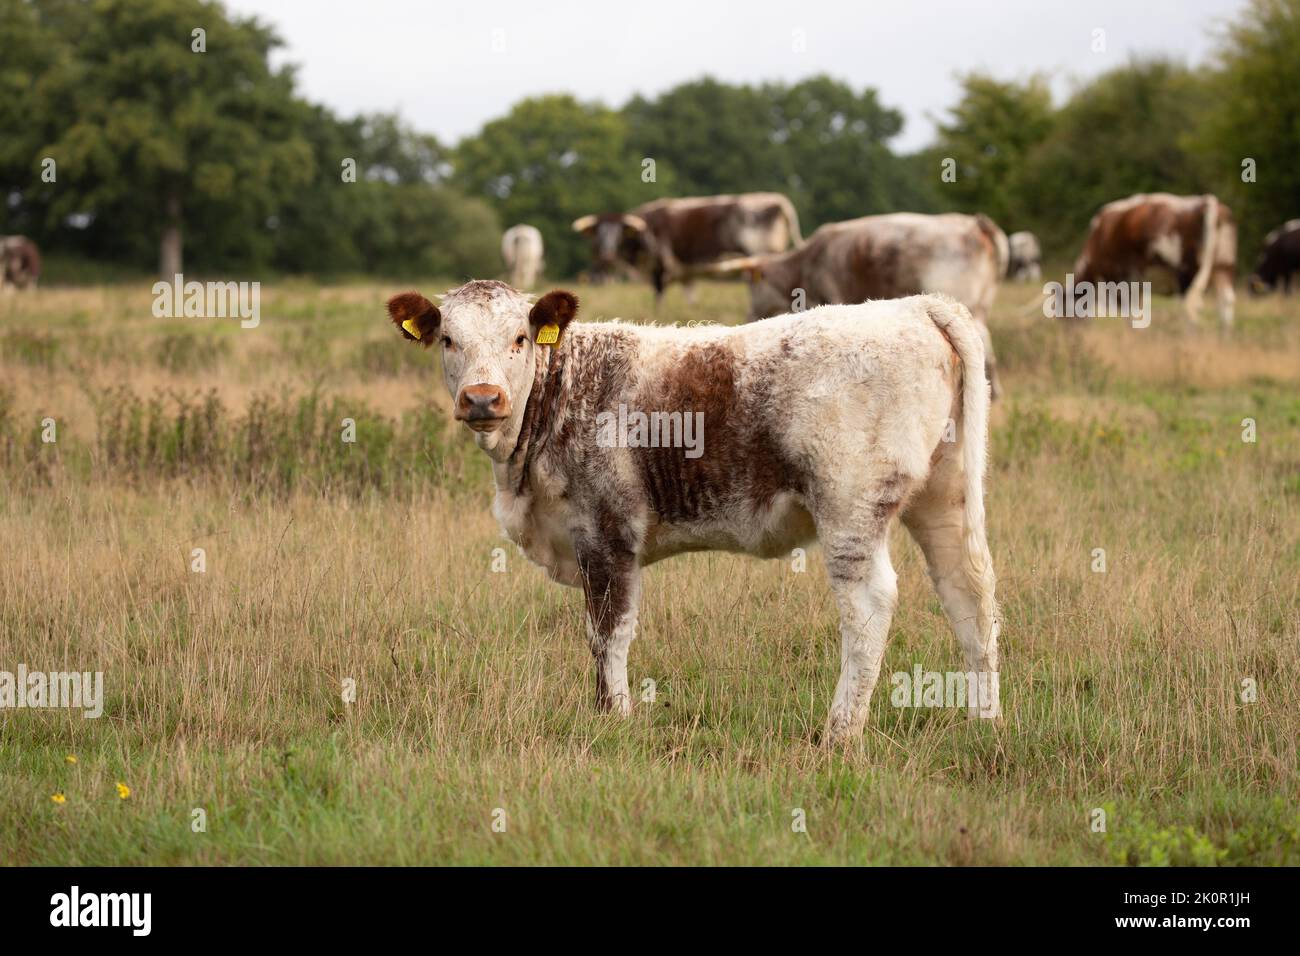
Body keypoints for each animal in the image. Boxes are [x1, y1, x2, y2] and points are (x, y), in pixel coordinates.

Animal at [384, 279, 1000, 743]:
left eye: (519, 337)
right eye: (448, 340)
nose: (482, 398)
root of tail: (915, 305)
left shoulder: (606, 532)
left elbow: (608, 632)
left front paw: (614, 717)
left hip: (850, 506)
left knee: (870, 606)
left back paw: (839, 734)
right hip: (944, 494)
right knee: (968, 590)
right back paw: (982, 720)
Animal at [572, 192, 803, 301]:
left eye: (619, 233)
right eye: (598, 233)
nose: (606, 255)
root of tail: (776, 199)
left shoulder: (660, 268)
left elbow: (658, 300)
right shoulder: (687, 276)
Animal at [1073, 193, 1236, 326]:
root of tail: (1208, 202)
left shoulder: (1119, 279)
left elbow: (1131, 315)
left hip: (1186, 274)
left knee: (1191, 306)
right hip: (1223, 266)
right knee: (1226, 302)